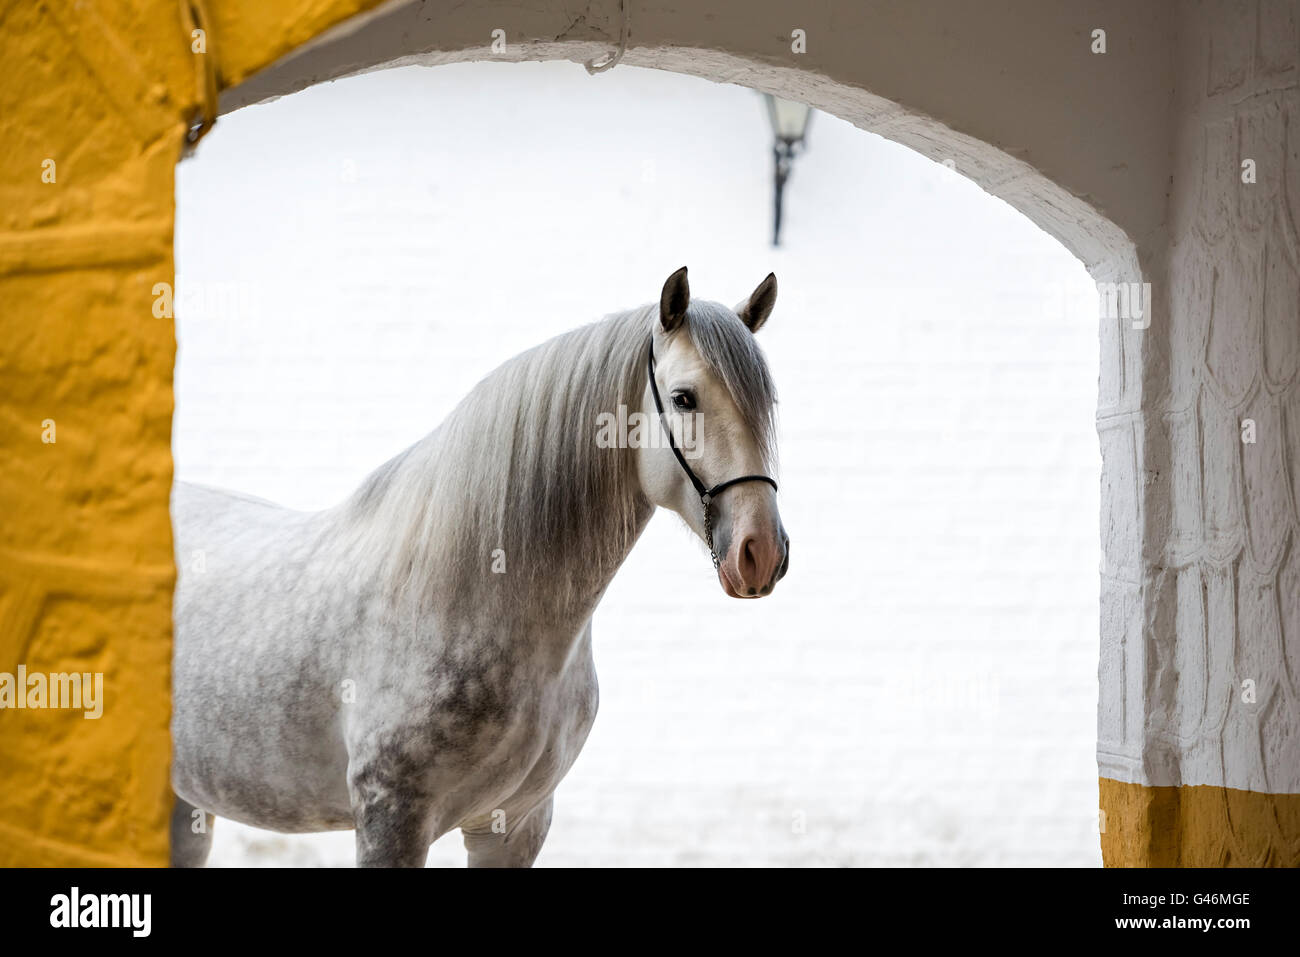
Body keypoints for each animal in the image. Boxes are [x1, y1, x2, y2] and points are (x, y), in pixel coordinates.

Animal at [169, 267, 790, 867]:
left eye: (769, 405)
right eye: (684, 399)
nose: (761, 552)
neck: (464, 596)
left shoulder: (515, 826)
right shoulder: (389, 822)